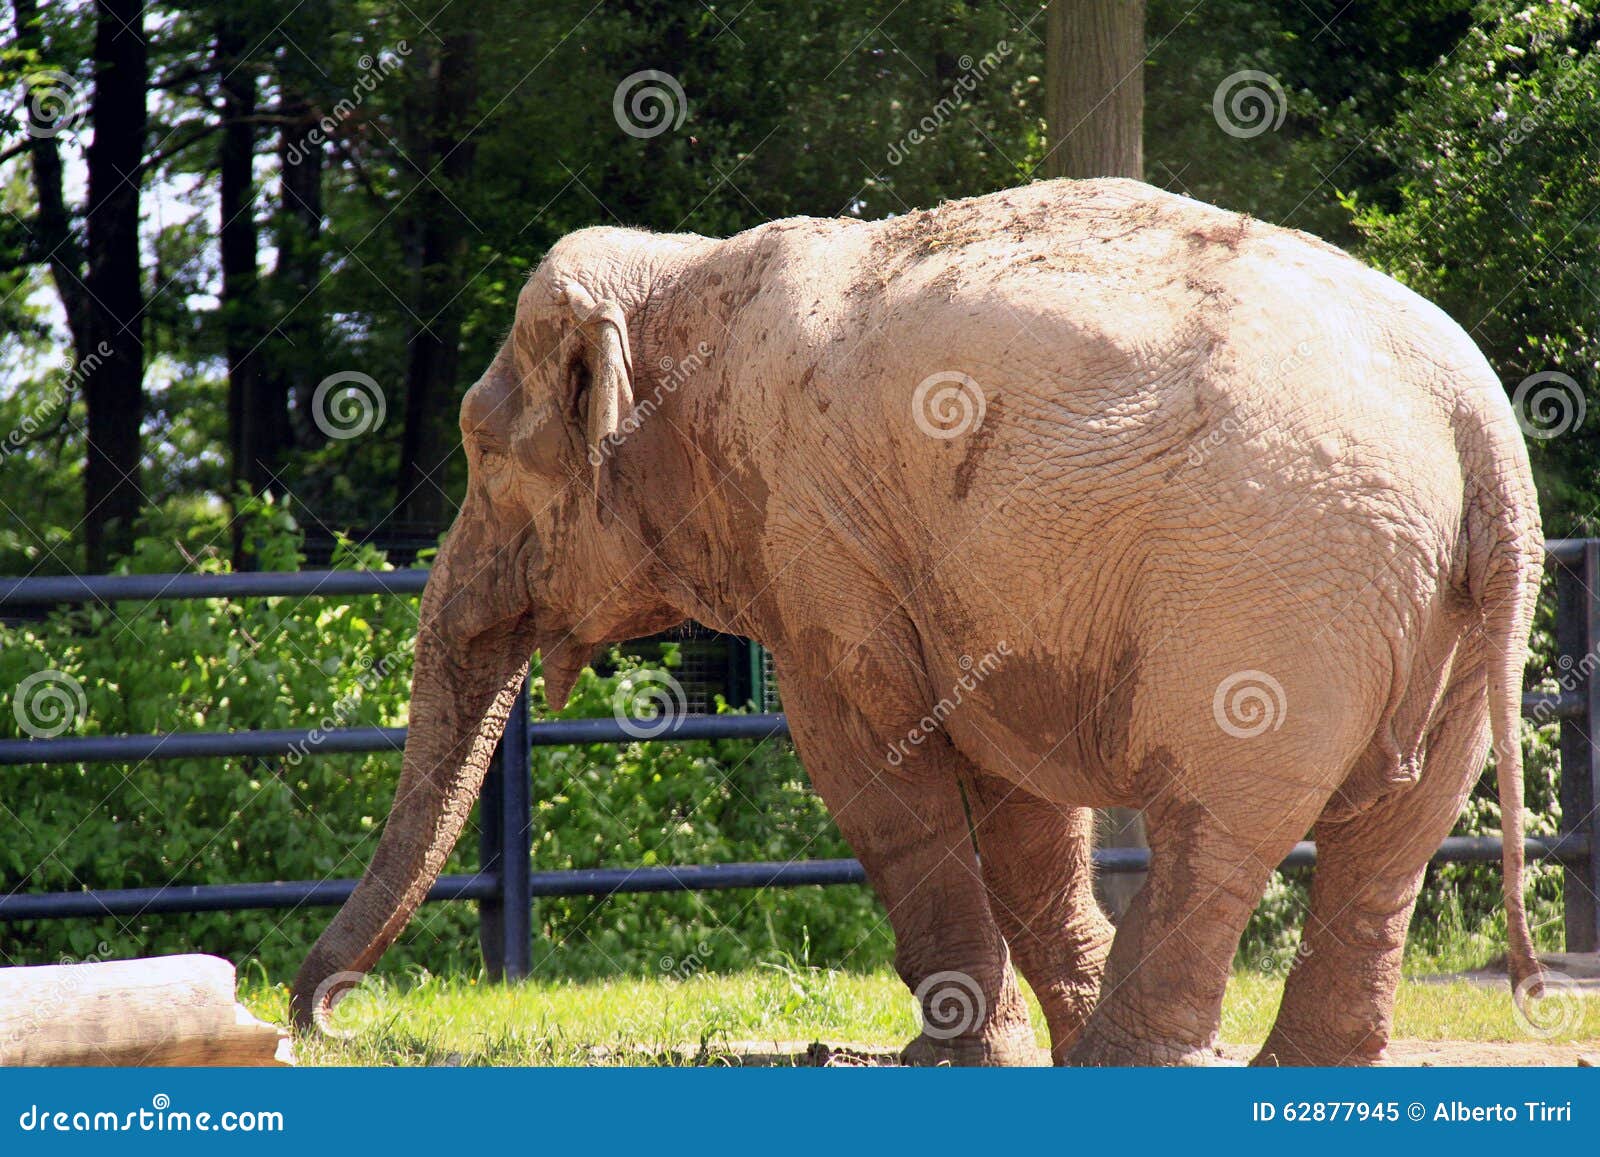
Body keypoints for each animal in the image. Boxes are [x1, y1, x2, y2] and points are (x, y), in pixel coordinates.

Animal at [291, 178, 1544, 1066]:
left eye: (480, 451)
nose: (320, 1022)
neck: (693, 274)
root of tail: (1477, 421)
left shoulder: (822, 539)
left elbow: (869, 765)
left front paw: (955, 1058)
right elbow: (1018, 795)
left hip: (1269, 590)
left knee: (1219, 822)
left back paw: (1133, 1063)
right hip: (1436, 611)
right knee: (1393, 836)